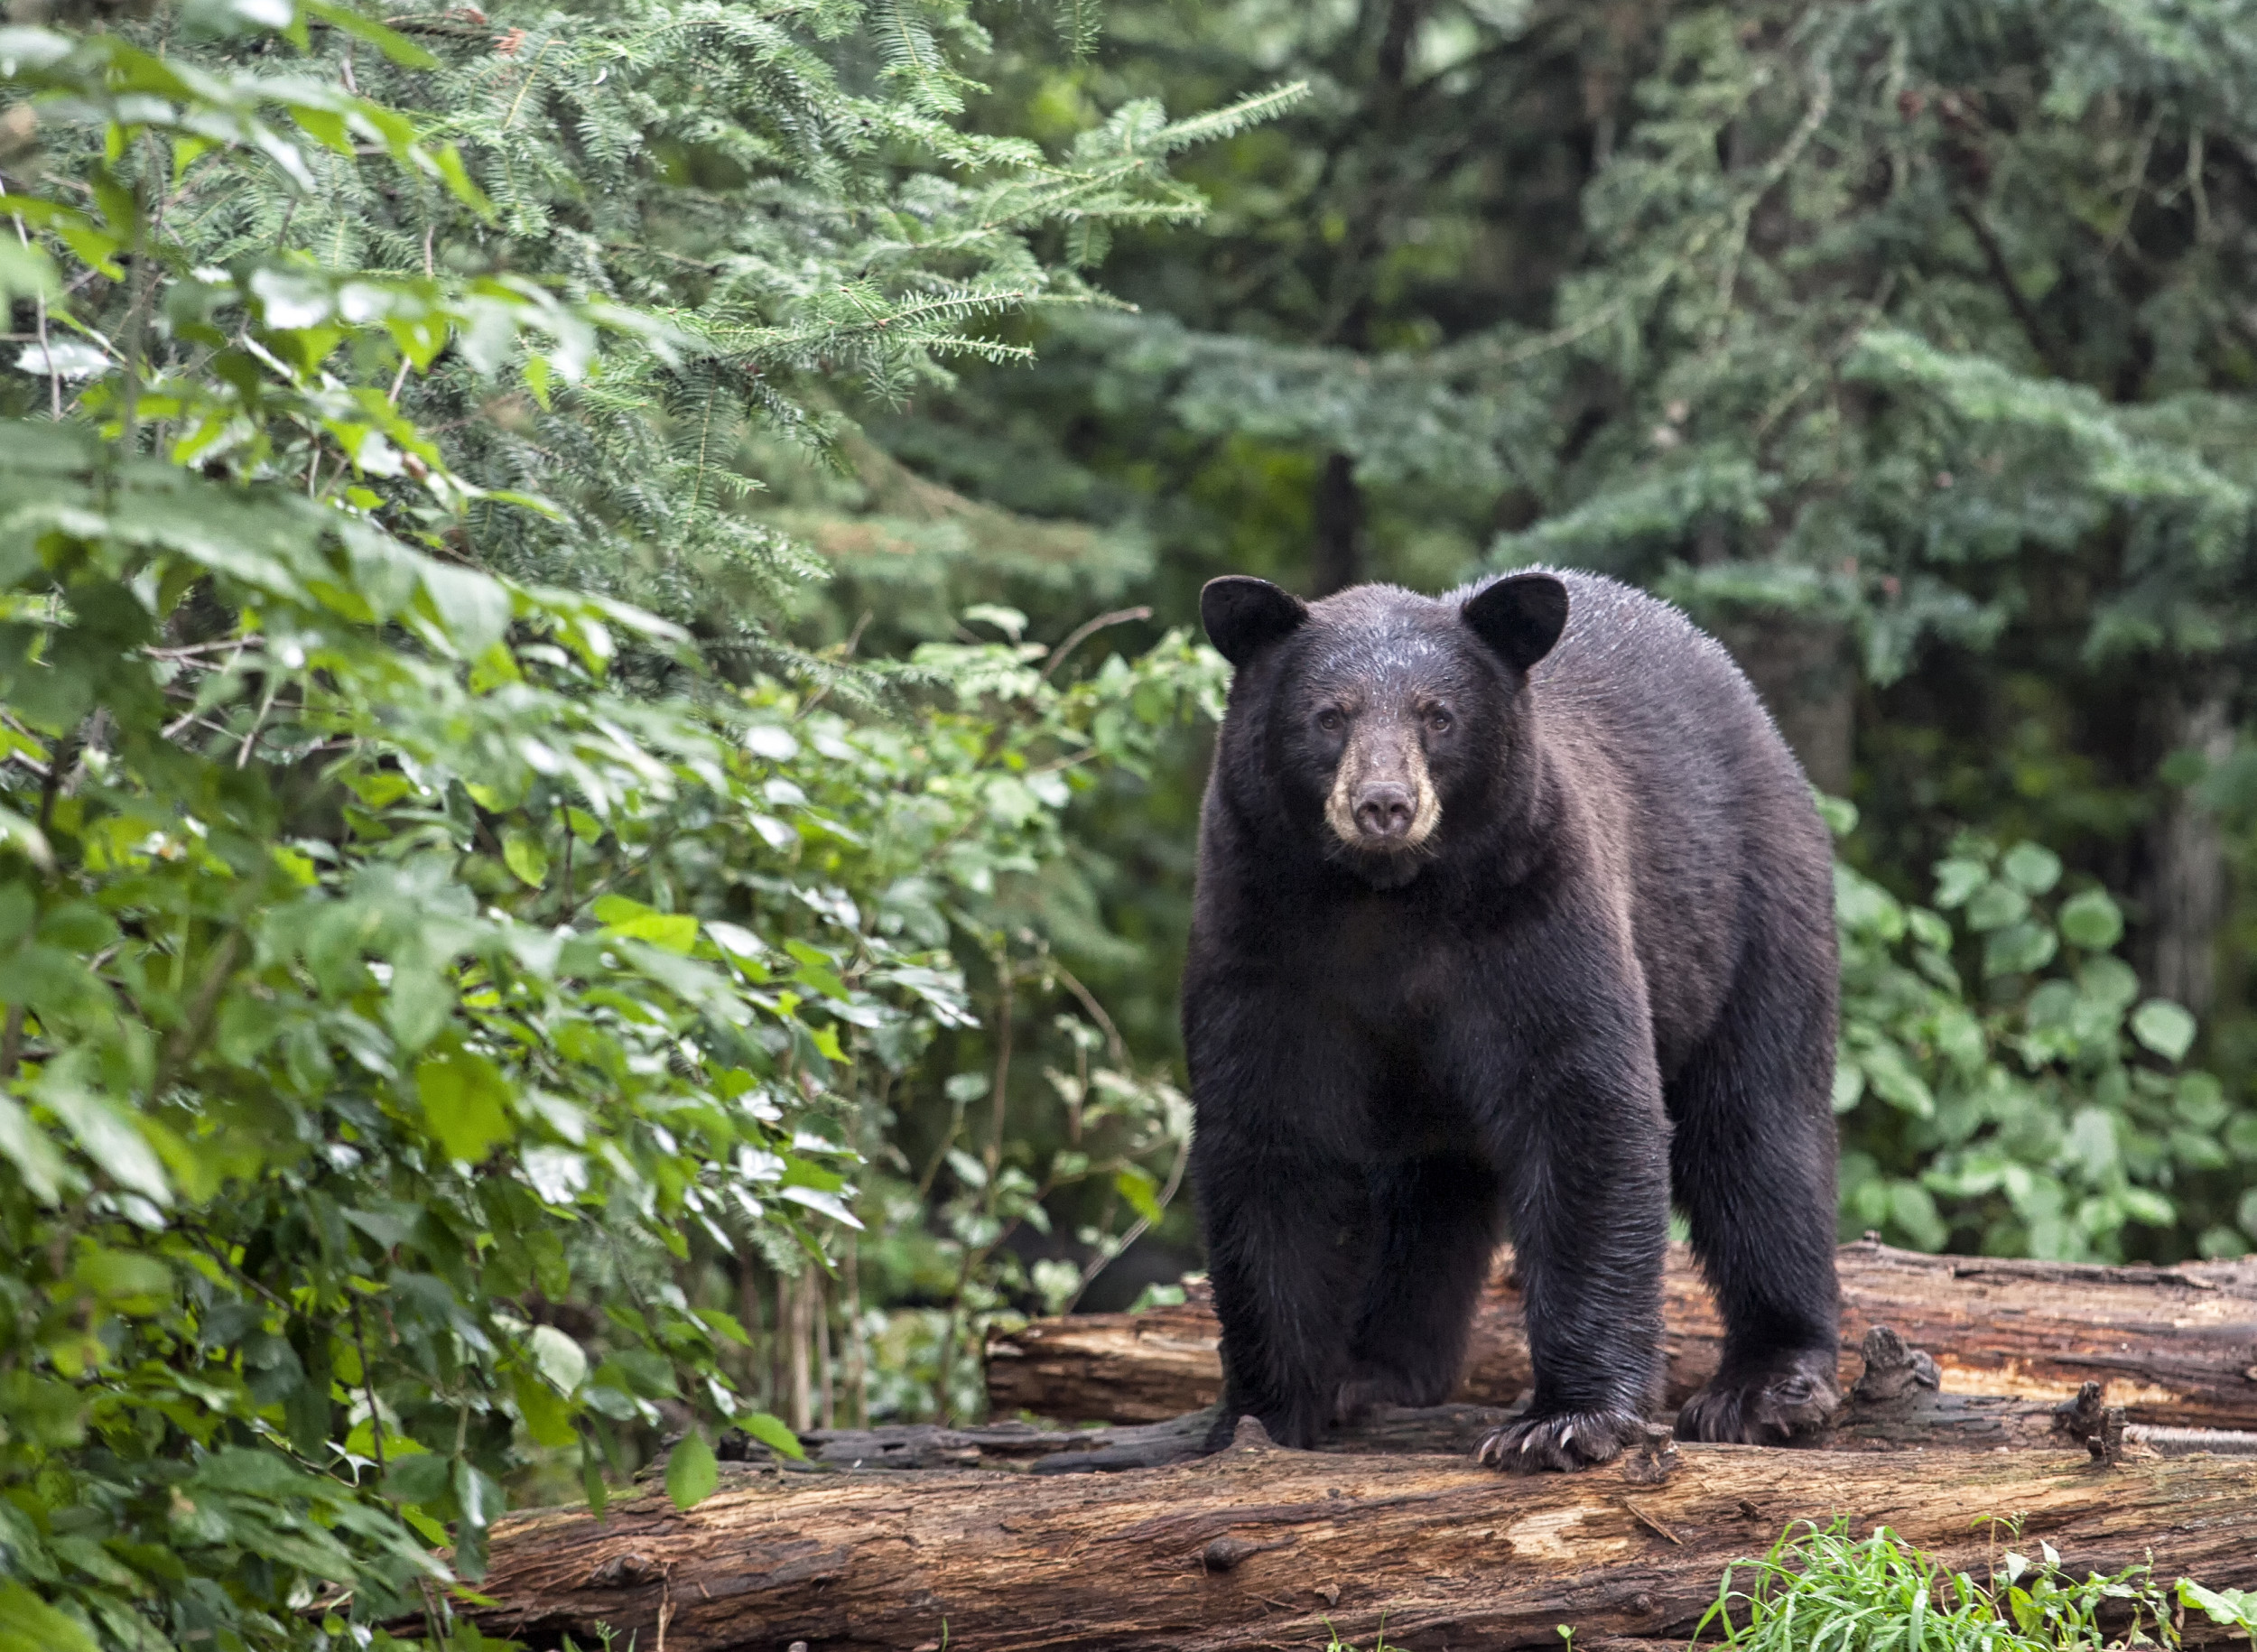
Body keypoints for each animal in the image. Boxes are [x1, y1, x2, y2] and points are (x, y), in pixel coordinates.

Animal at [1182, 568, 1841, 1471]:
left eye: (1437, 715)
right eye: (1329, 715)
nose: (1384, 804)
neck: (1384, 901)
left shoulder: (1534, 910)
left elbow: (1584, 1105)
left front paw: (1567, 1420)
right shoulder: (1261, 936)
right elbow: (1268, 1141)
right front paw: (1261, 1418)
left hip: (1751, 913)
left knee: (1759, 1130)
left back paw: (1767, 1382)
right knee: (1422, 1191)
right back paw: (1376, 1369)